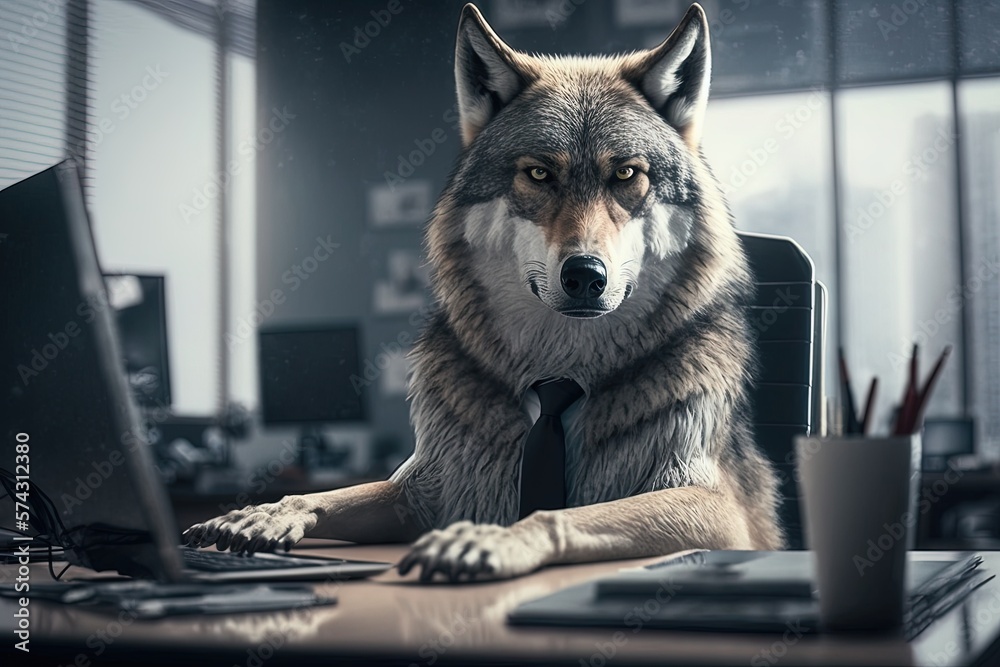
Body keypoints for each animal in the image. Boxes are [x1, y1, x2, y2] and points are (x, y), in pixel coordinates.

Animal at [183, 2, 784, 581]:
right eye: (539, 174)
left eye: (626, 174)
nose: (585, 275)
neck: (561, 371)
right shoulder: (422, 489)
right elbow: (327, 494)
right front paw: (263, 513)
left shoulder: (718, 510)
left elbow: (561, 513)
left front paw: (488, 539)